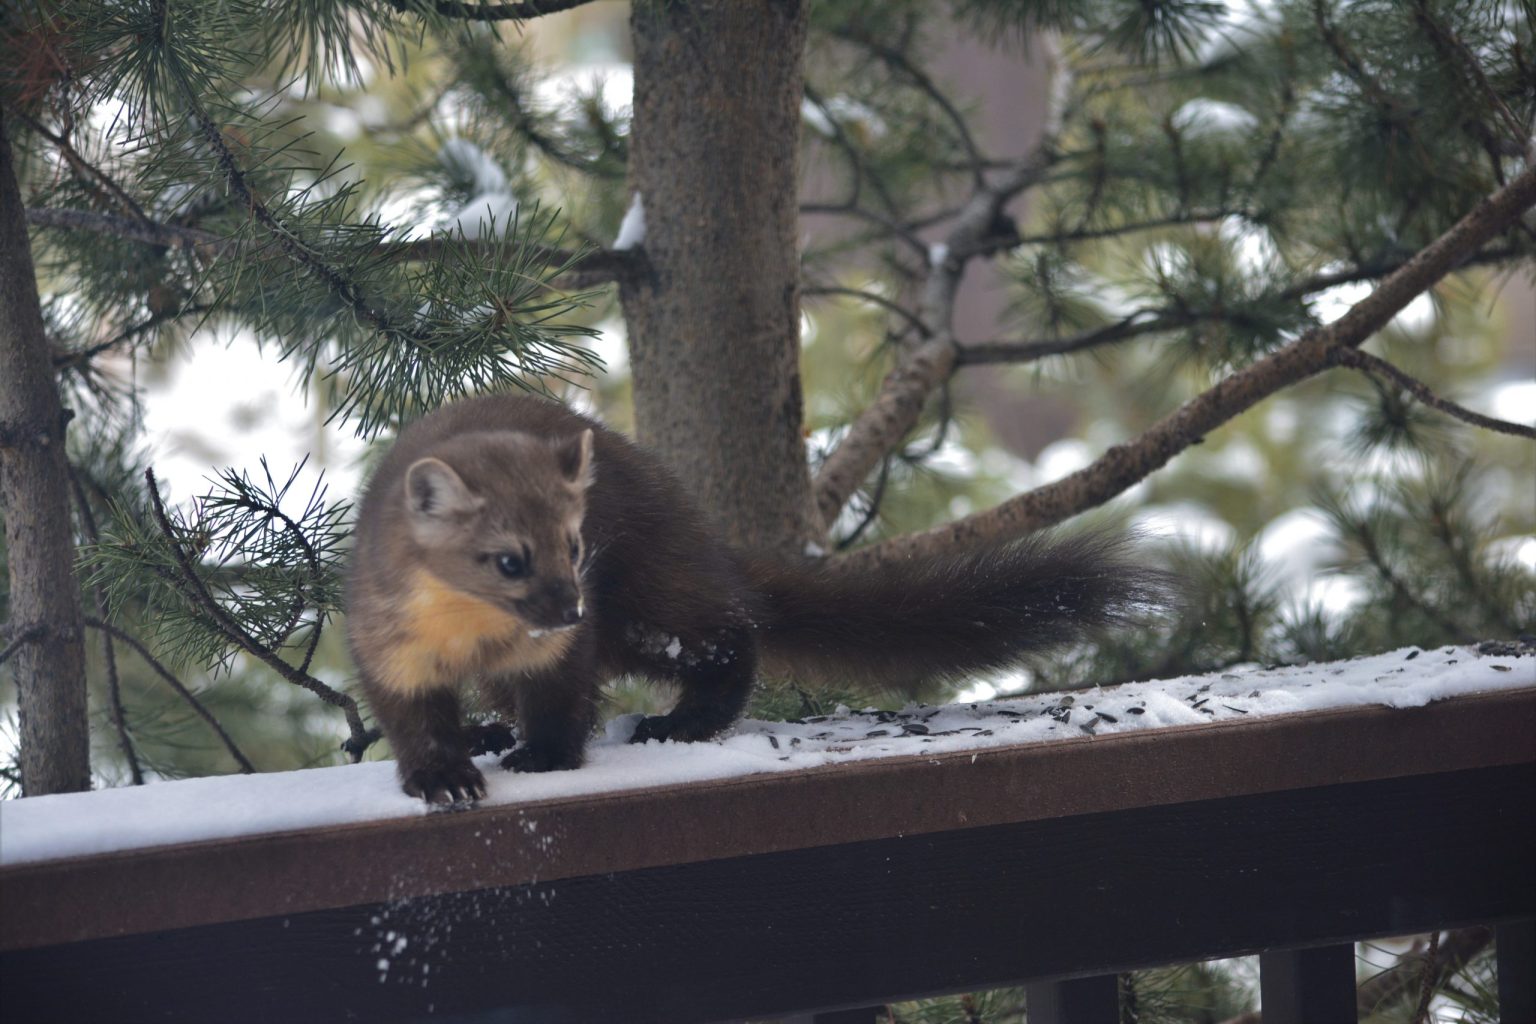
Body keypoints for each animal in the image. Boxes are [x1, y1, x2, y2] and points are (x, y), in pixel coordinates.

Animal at [346, 393, 1167, 803]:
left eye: (574, 544)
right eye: (509, 558)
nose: (568, 607)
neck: (471, 636)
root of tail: (698, 527)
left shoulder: (567, 647)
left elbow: (561, 702)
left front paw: (542, 759)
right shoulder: (386, 647)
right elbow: (412, 722)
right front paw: (447, 776)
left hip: (650, 598)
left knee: (731, 636)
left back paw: (674, 723)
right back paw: (490, 732)